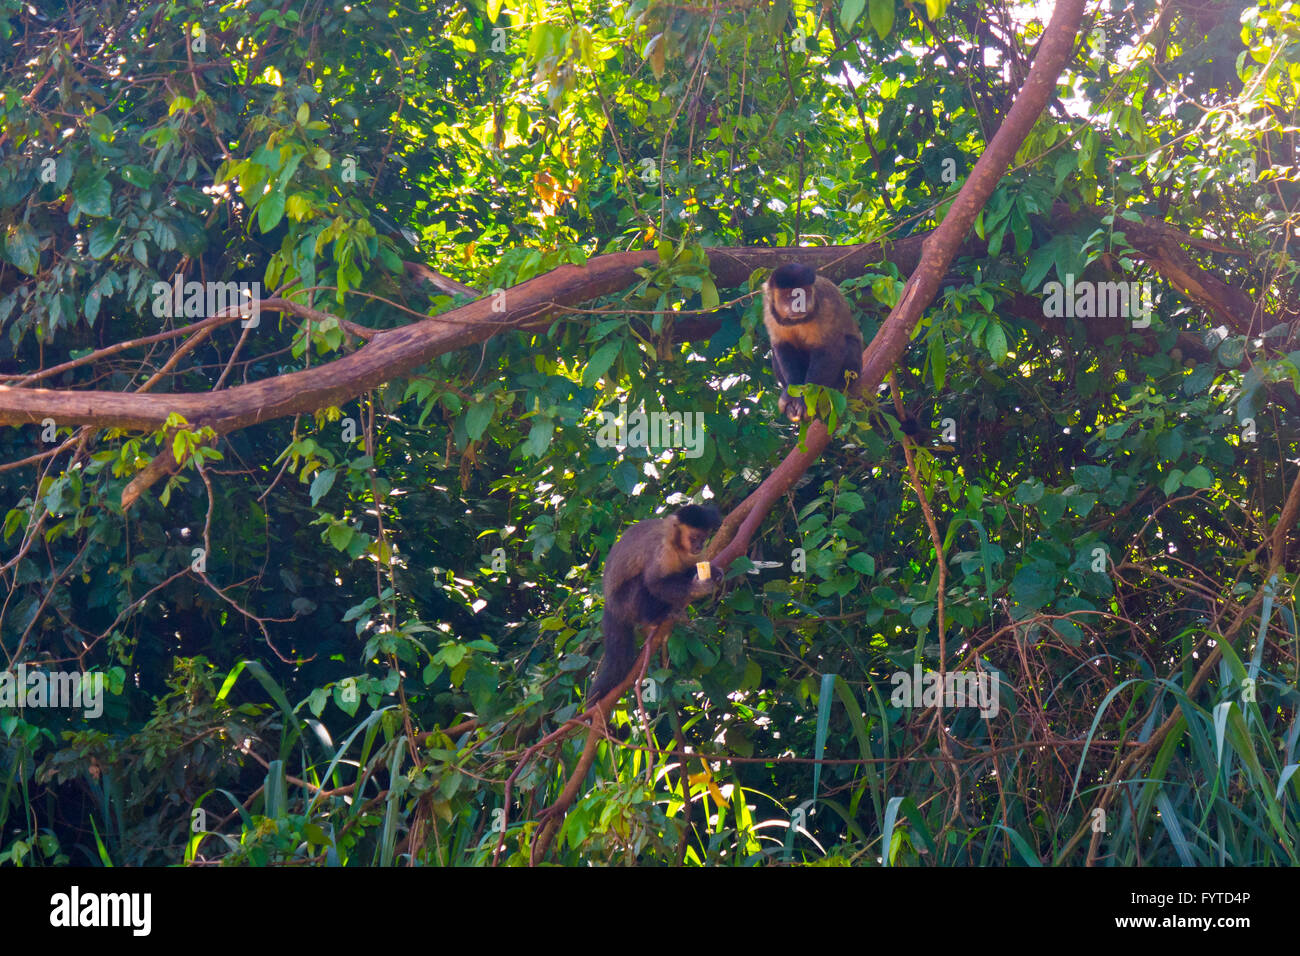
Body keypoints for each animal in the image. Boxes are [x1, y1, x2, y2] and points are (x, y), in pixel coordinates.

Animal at [586, 504, 722, 704]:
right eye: (694, 538)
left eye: (703, 538)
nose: (698, 546)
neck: (677, 544)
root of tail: (610, 606)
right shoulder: (663, 550)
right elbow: (655, 583)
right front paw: (698, 588)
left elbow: (691, 568)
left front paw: (715, 572)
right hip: (623, 603)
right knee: (642, 583)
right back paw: (653, 618)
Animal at [762, 263, 865, 422]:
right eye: (789, 296)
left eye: (804, 294)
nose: (799, 305)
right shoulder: (769, 311)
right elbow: (782, 346)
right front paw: (791, 395)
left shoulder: (826, 306)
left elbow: (830, 349)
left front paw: (806, 400)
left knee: (848, 345)